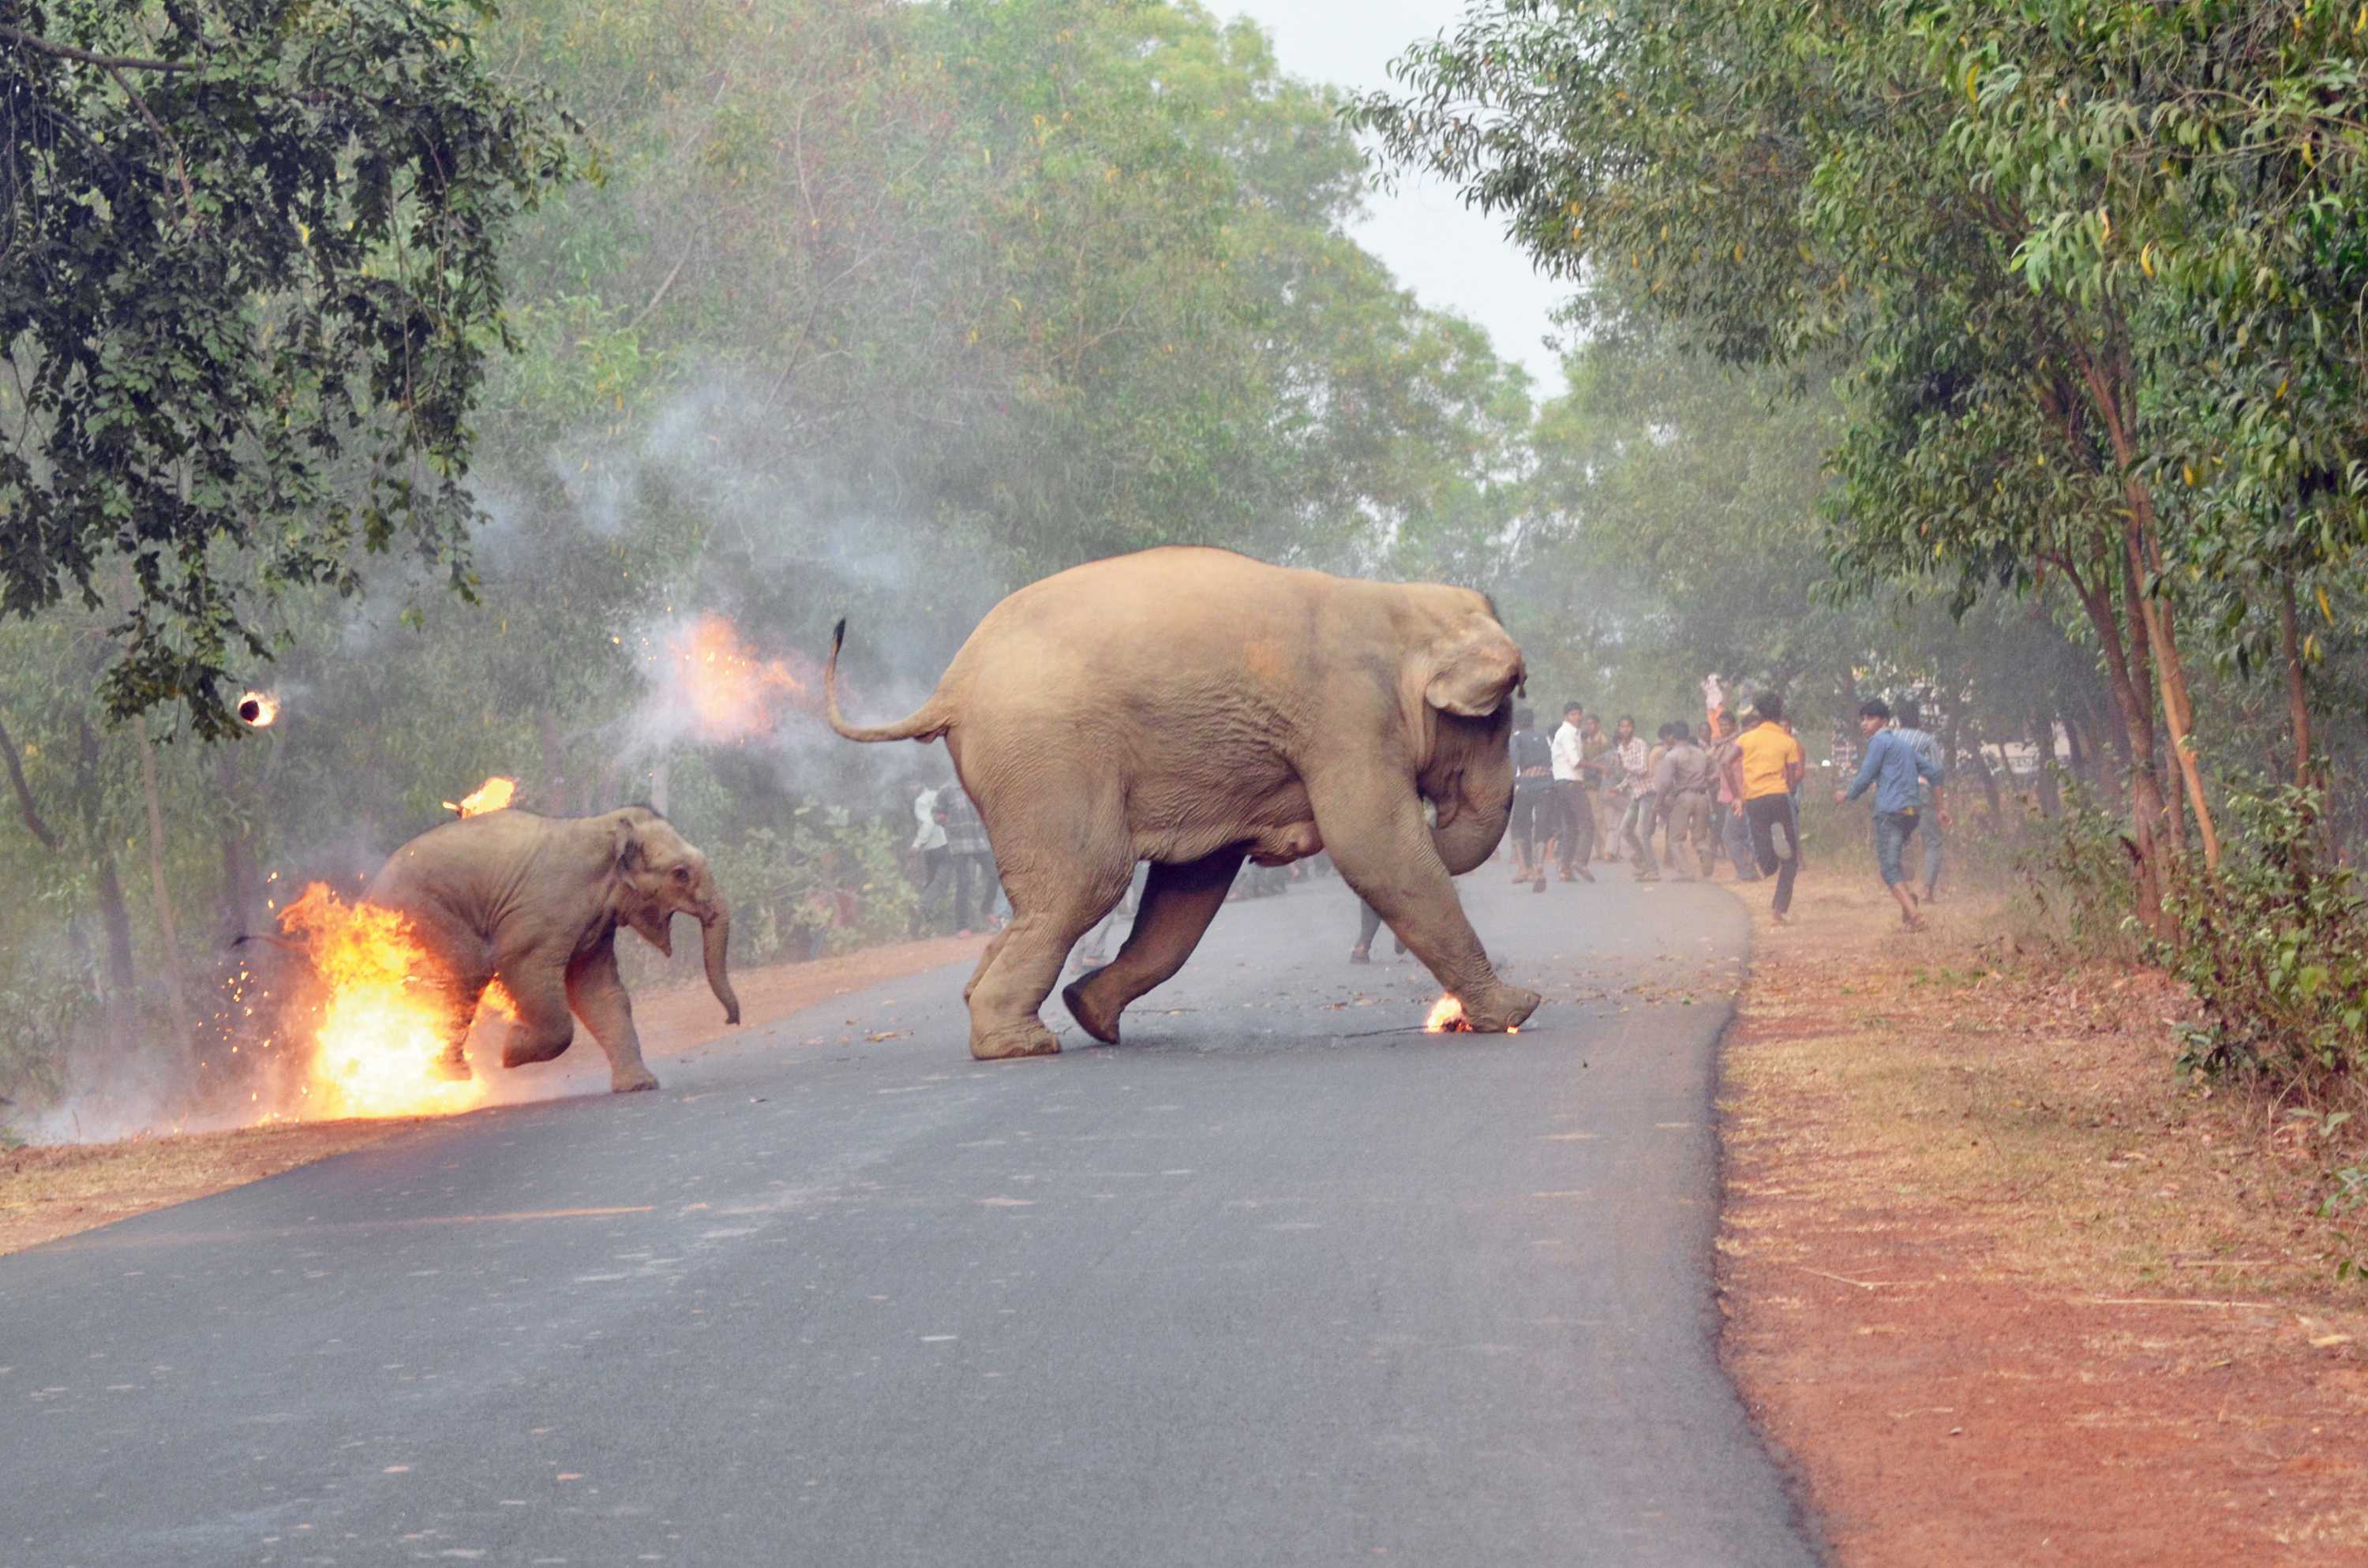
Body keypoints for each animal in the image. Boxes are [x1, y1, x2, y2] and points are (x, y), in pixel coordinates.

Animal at [361, 805, 739, 1093]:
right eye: (680, 874)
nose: (730, 1020)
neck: (606, 826)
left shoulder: (595, 928)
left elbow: (598, 991)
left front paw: (640, 1086)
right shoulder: (543, 913)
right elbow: (521, 966)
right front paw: (510, 1051)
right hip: (425, 915)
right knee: (464, 976)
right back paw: (450, 1078)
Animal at [824, 545, 1540, 1060]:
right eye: (1498, 718)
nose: (1438, 814)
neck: (1399, 602)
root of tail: (952, 685)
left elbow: (1191, 887)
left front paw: (1090, 1009)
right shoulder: (1349, 717)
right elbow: (1376, 848)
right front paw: (1518, 1009)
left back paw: (1032, 1013)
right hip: (1046, 754)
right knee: (1091, 878)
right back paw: (1018, 1045)